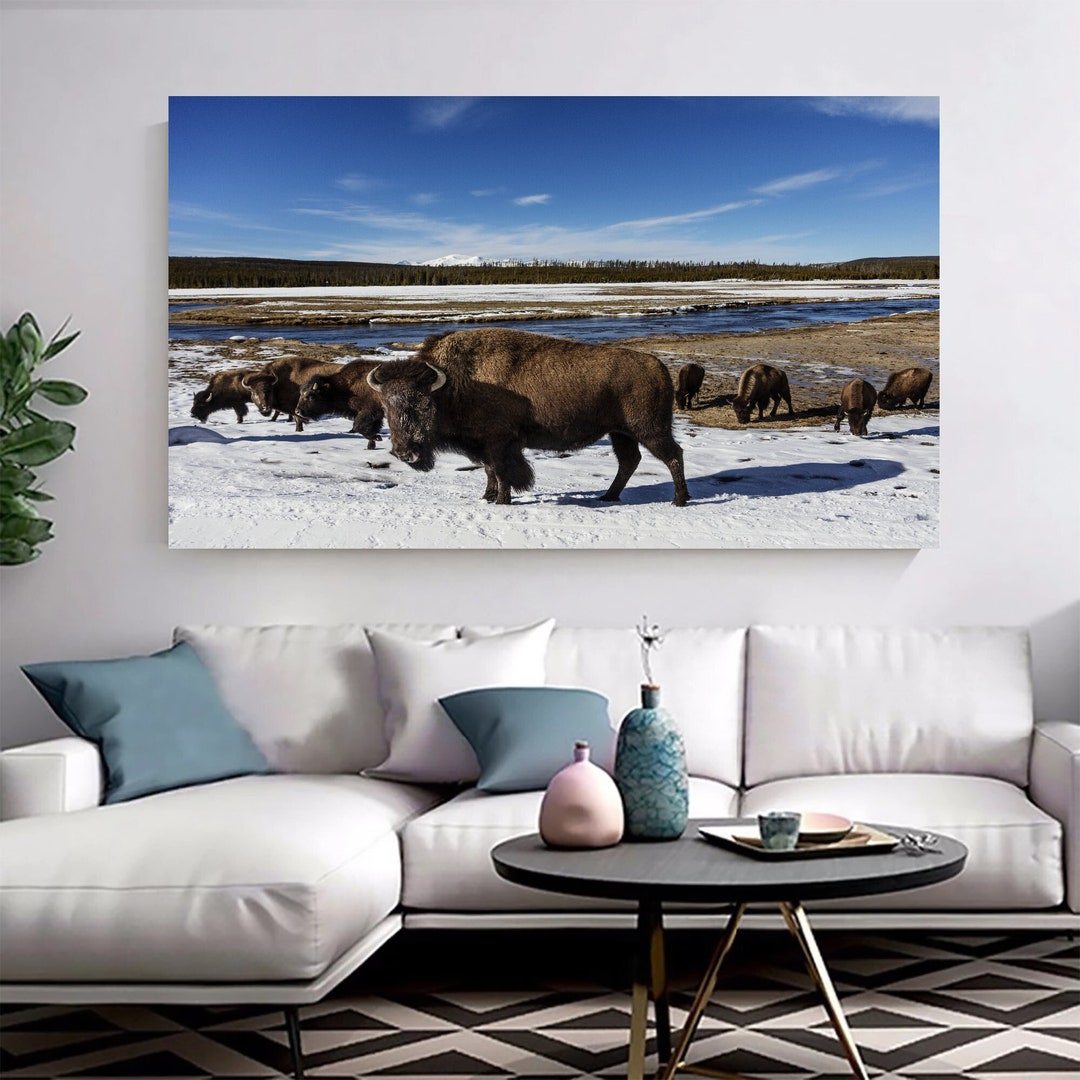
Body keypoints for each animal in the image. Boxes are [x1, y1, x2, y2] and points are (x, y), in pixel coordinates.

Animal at [364, 328, 690, 506]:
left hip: (649, 429)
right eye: (387, 407)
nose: (405, 453)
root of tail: (659, 367)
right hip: (620, 433)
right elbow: (490, 471)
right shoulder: (486, 445)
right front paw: (487, 497)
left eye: (424, 404)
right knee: (629, 461)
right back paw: (608, 496)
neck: (452, 385)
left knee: (673, 455)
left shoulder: (499, 443)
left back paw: (679, 500)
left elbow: (501, 471)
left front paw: (500, 501)